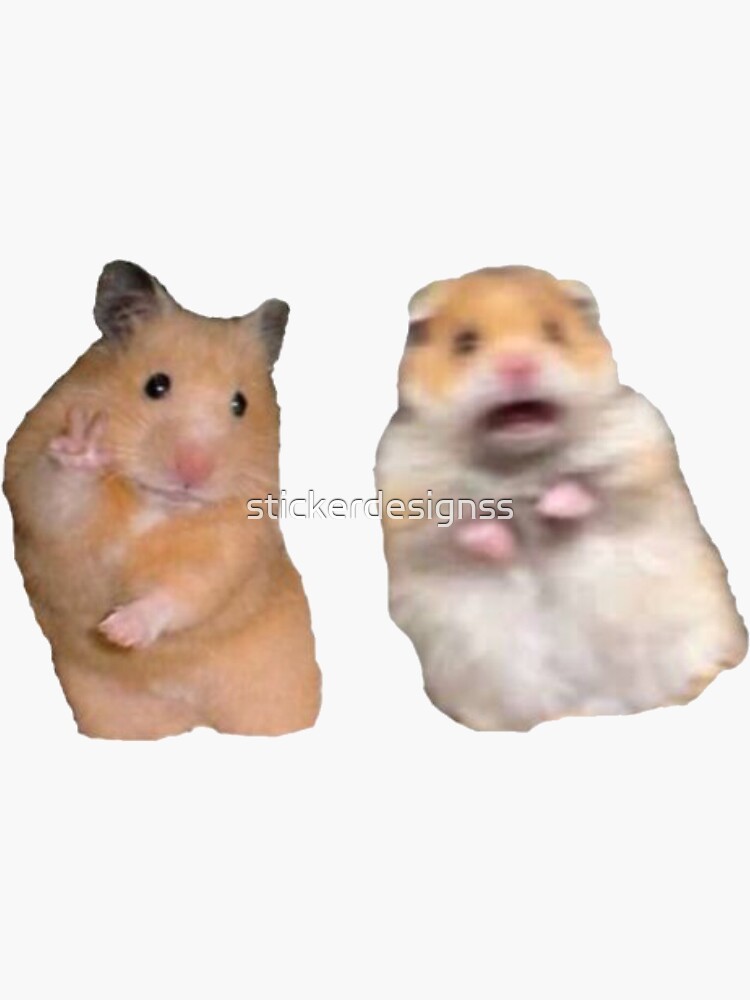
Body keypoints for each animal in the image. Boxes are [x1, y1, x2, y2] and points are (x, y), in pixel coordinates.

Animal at [4, 261, 321, 739]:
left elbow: (182, 592)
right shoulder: (34, 490)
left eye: (240, 404)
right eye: (156, 385)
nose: (193, 471)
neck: (156, 505)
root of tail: (196, 718)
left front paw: (118, 631)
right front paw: (84, 443)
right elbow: (60, 494)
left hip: (280, 688)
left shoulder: (232, 548)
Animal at [376, 266, 746, 731]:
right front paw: (505, 541)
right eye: (464, 343)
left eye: (554, 332)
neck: (519, 459)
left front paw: (549, 507)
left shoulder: (641, 453)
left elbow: (590, 490)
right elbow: (463, 529)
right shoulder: (407, 504)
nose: (518, 365)